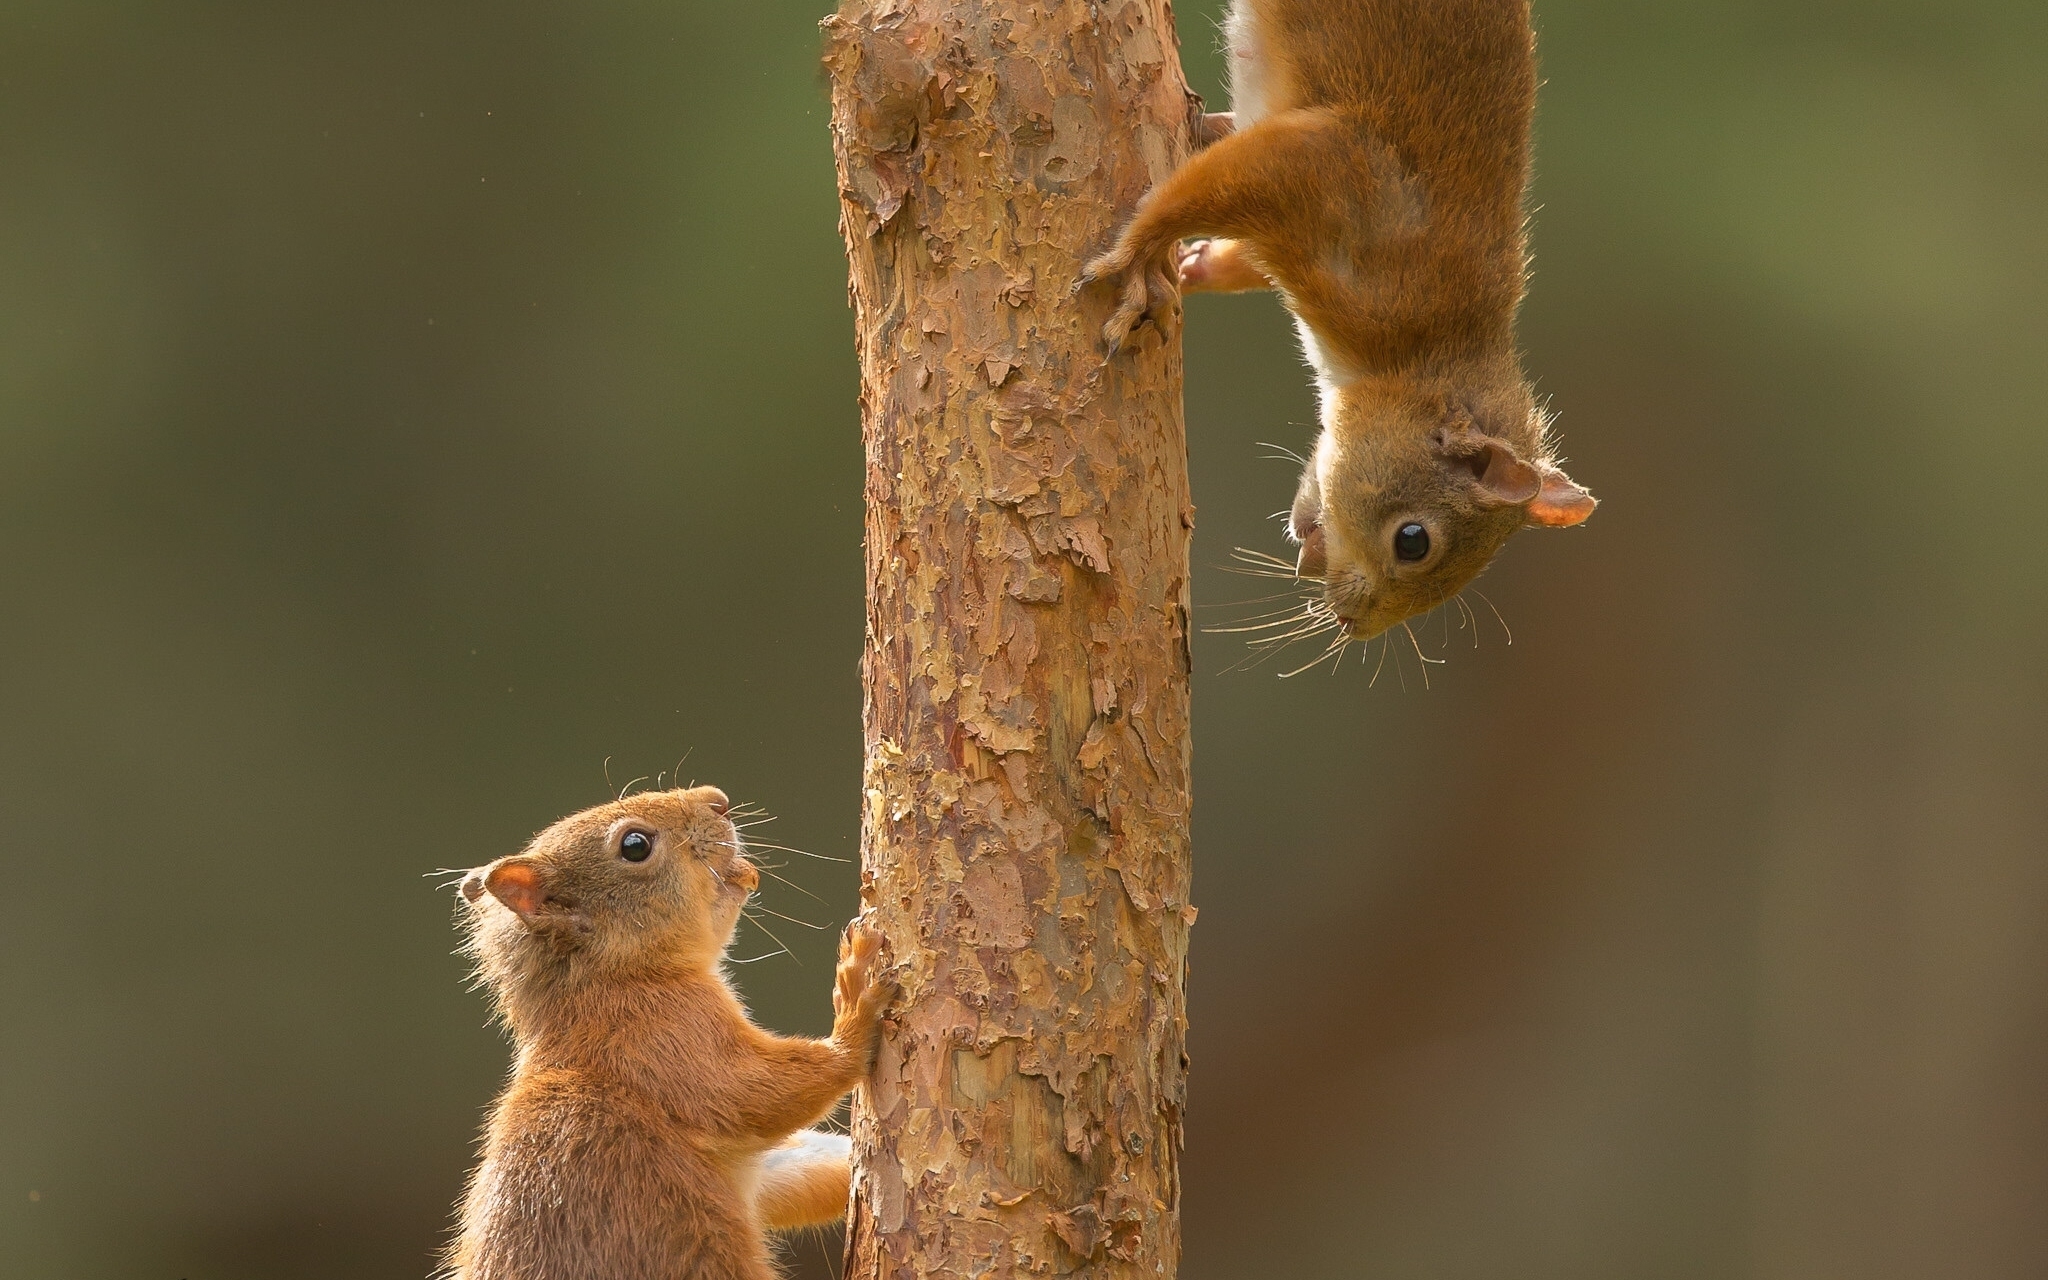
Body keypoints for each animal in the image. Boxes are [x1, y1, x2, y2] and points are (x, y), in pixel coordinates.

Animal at [446, 785, 895, 1280]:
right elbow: (758, 1094)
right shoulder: (665, 1040)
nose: (718, 800)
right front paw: (857, 1001)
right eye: (634, 846)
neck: (614, 981)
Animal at [1085, 0, 1597, 643]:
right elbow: (1195, 192)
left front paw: (1195, 265)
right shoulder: (1334, 179)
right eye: (1413, 541)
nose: (1352, 624)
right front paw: (1137, 256)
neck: (1422, 353)